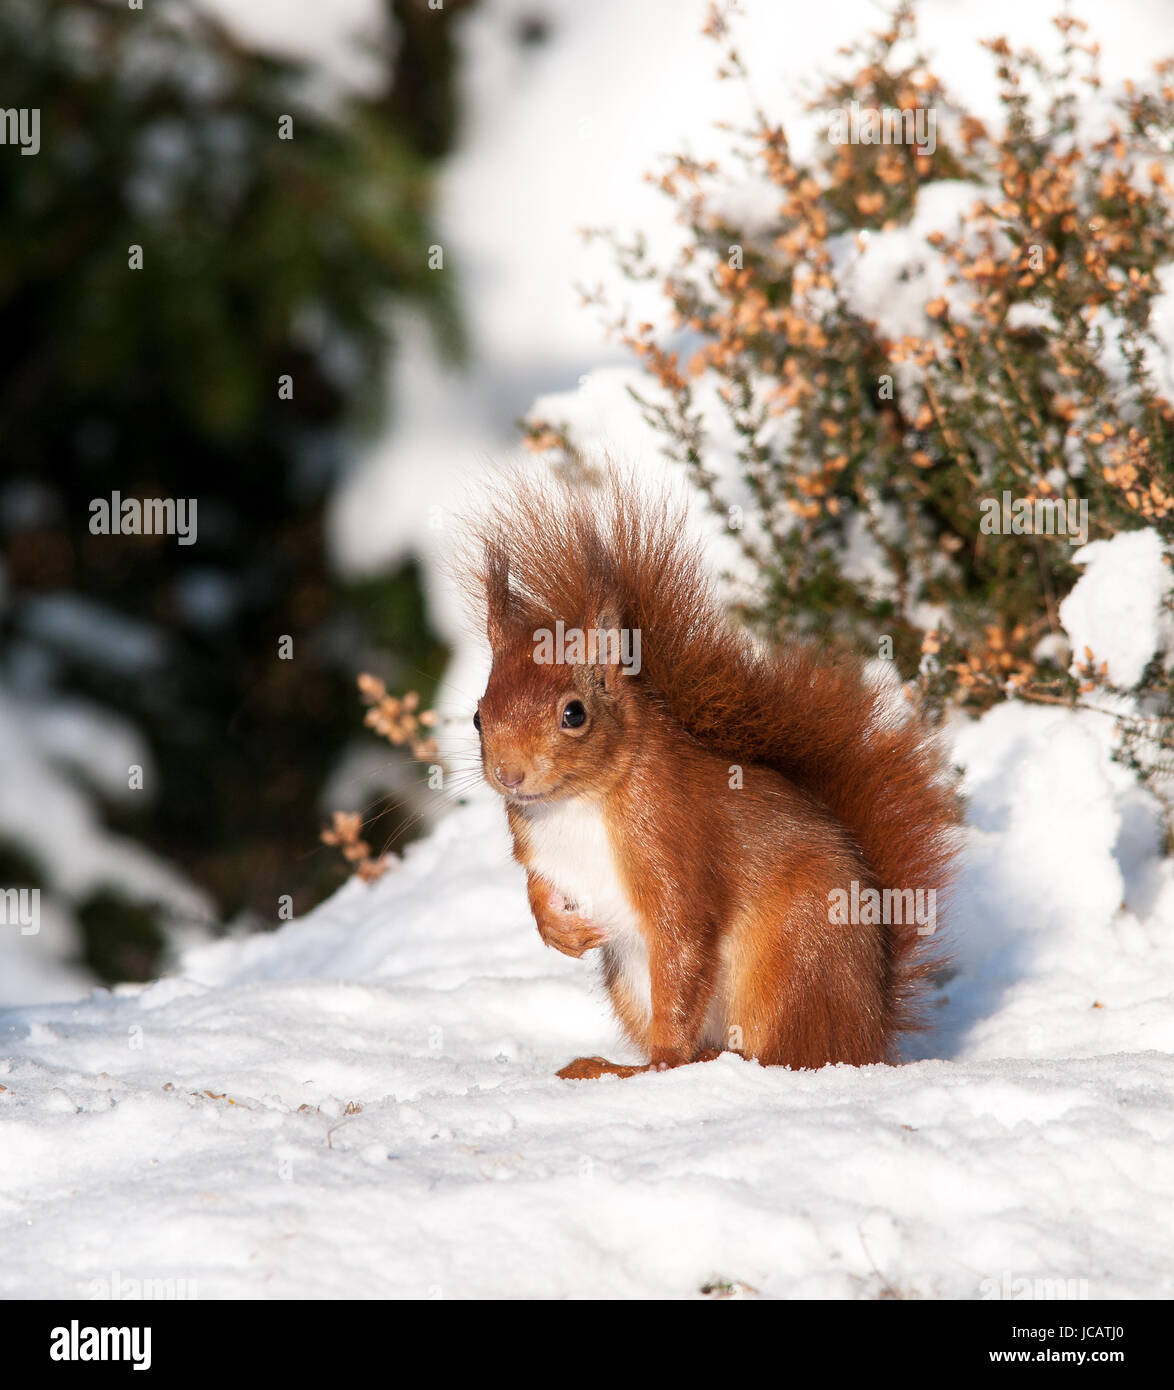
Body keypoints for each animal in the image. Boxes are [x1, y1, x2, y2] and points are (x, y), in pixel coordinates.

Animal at [465, 471, 959, 1081]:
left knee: (790, 1055)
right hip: (631, 980)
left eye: (574, 714)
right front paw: (559, 931)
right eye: (478, 716)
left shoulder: (673, 838)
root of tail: (868, 1036)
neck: (576, 802)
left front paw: (661, 1066)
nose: (509, 774)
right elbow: (538, 890)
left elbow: (683, 942)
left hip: (798, 961)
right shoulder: (537, 846)